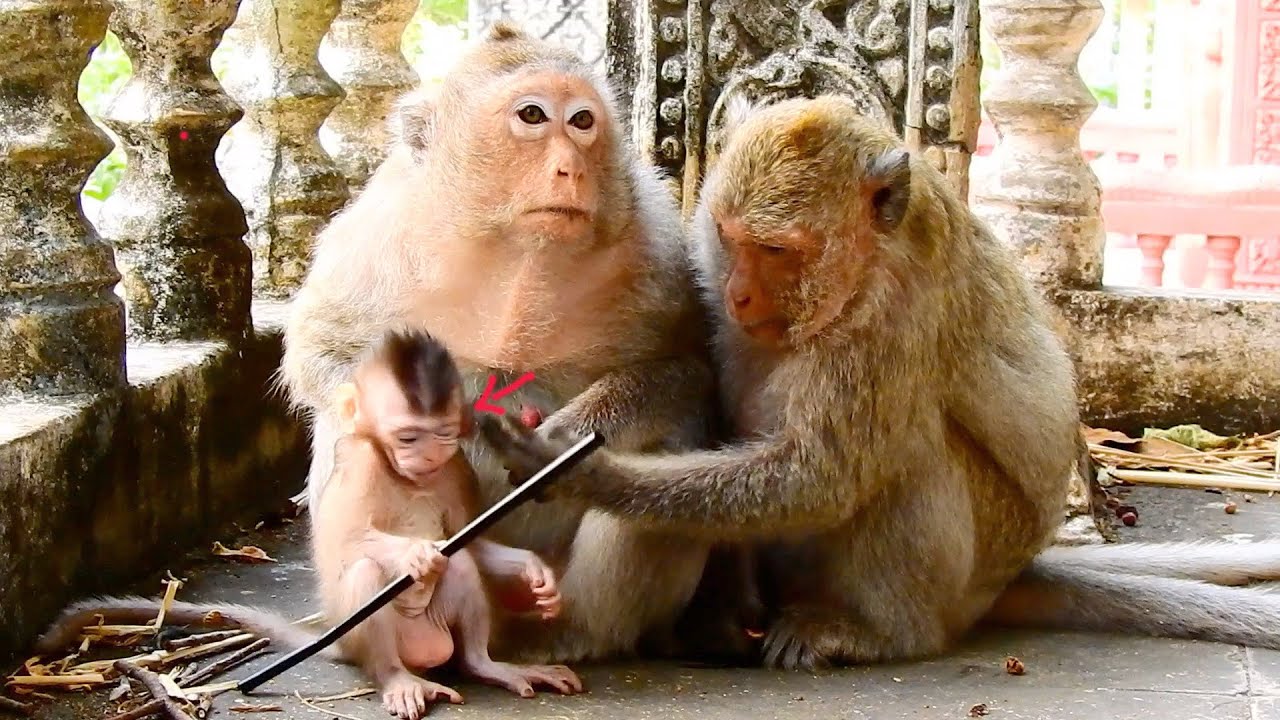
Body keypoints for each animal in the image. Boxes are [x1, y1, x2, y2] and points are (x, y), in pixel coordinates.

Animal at [276, 21, 736, 665]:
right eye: (533, 115)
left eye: (583, 121)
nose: (571, 169)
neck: (518, 257)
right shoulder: (378, 235)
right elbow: (322, 346)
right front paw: (453, 430)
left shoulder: (653, 239)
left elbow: (686, 370)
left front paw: (560, 438)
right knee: (347, 437)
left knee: (671, 438)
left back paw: (569, 637)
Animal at [477, 93, 1280, 671]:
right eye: (734, 240)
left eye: (778, 250)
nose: (739, 294)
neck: (864, 262)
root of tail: (1008, 577)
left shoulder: (891, 318)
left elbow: (822, 475)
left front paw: (586, 472)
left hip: (956, 583)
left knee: (909, 457)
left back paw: (877, 633)